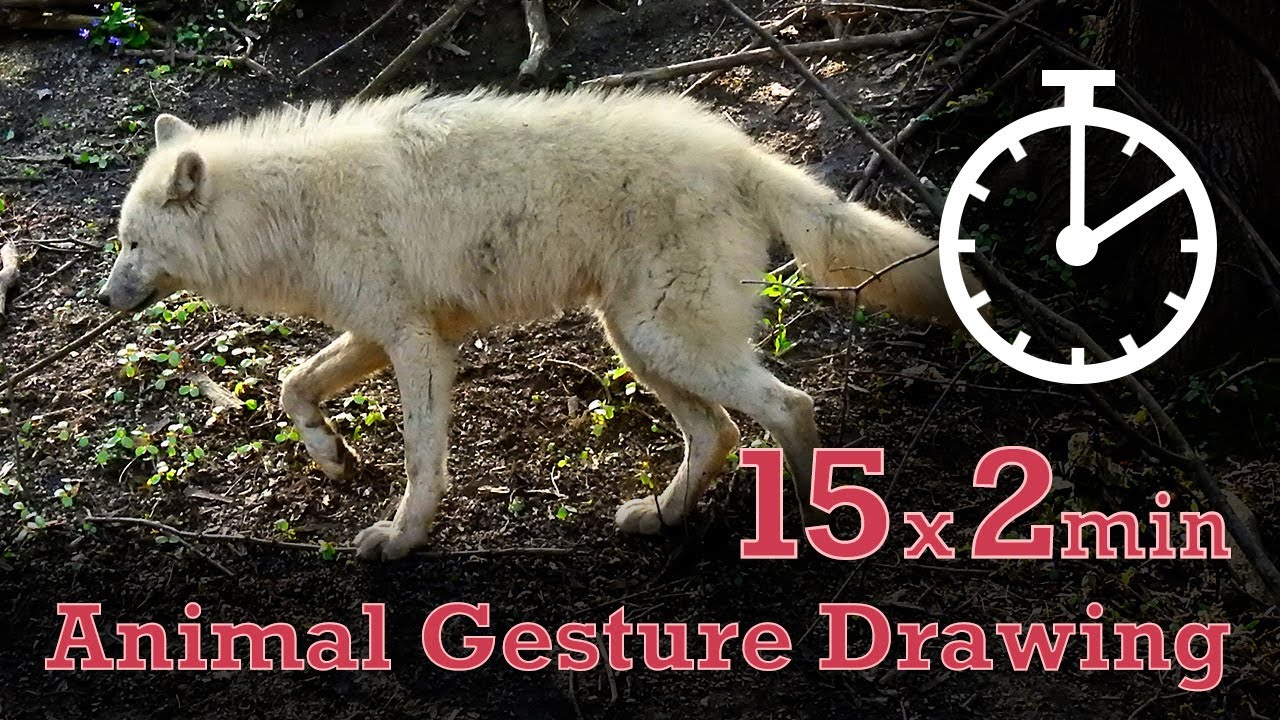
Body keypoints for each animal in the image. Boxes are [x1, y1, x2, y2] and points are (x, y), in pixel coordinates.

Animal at [98, 87, 980, 560]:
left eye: (133, 243)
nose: (104, 300)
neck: (292, 209)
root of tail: (739, 151)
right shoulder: (383, 333)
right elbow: (291, 385)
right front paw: (332, 456)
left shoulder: (418, 348)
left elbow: (420, 461)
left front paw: (403, 536)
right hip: (638, 340)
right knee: (721, 432)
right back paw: (662, 515)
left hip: (663, 340)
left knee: (789, 407)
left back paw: (803, 527)